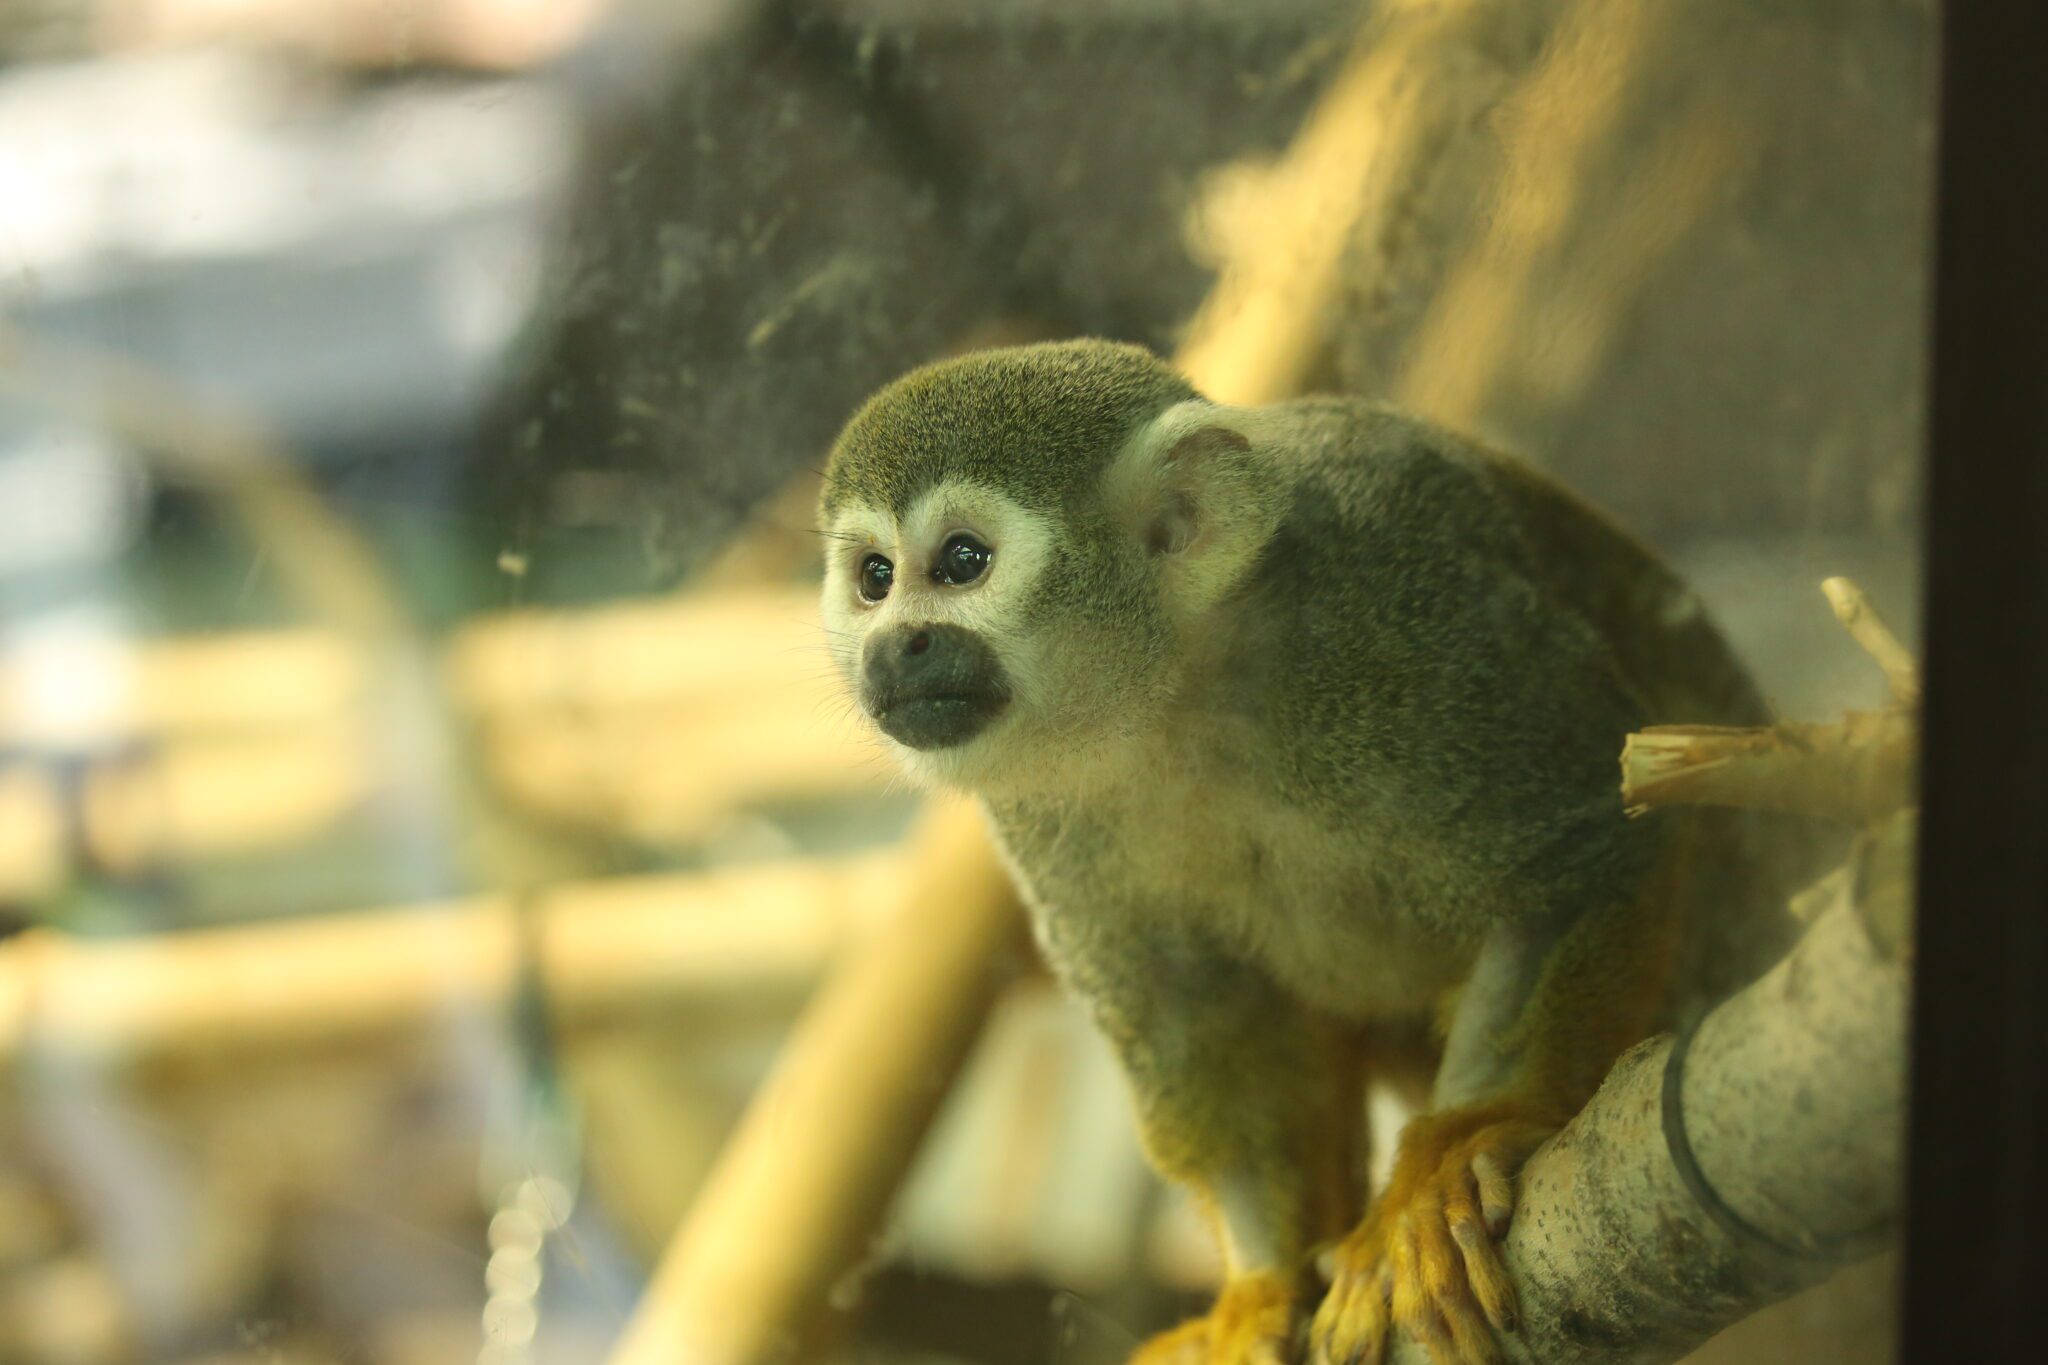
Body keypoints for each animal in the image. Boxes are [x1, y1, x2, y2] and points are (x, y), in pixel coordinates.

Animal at [817, 339, 1798, 1365]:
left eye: (962, 562)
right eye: (876, 577)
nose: (897, 645)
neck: (1182, 690)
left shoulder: (1407, 618)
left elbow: (1579, 849)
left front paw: (1458, 1149)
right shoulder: (1039, 808)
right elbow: (1202, 1018)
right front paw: (1261, 1285)